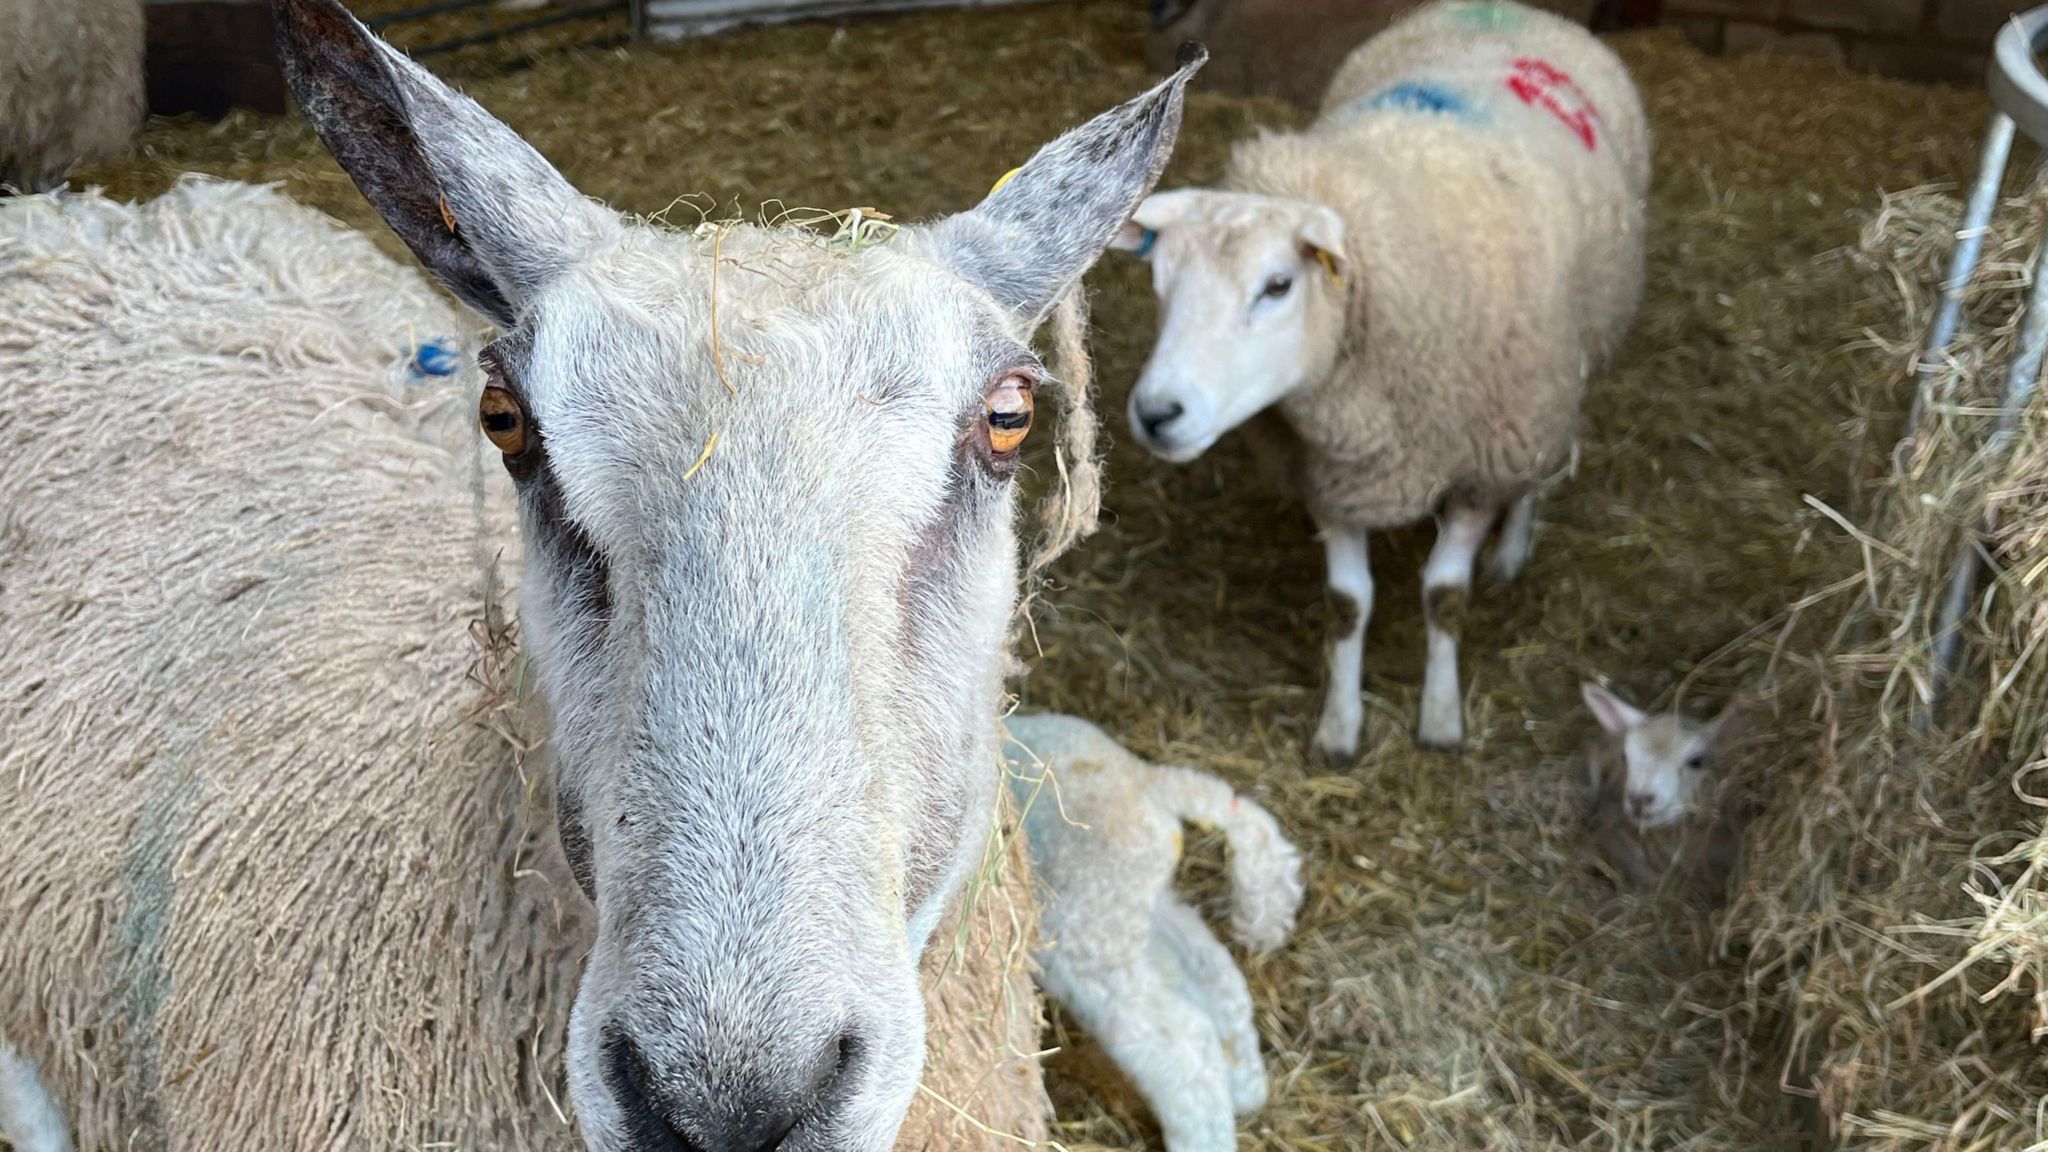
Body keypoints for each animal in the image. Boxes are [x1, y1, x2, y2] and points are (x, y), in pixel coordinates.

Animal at [1003, 713, 1304, 1152]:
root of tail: (1148, 782)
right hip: (1129, 904)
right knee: (1211, 972)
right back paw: (1247, 1087)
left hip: (1083, 926)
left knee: (1179, 1042)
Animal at [1115, 0, 1650, 757]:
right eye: (1159, 280)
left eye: (1277, 286)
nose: (1157, 413)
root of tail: (1516, 10)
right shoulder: (1334, 475)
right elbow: (1346, 606)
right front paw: (1339, 727)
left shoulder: (1478, 464)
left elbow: (1444, 597)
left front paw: (1442, 718)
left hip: (1558, 378)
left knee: (1541, 468)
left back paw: (1511, 552)